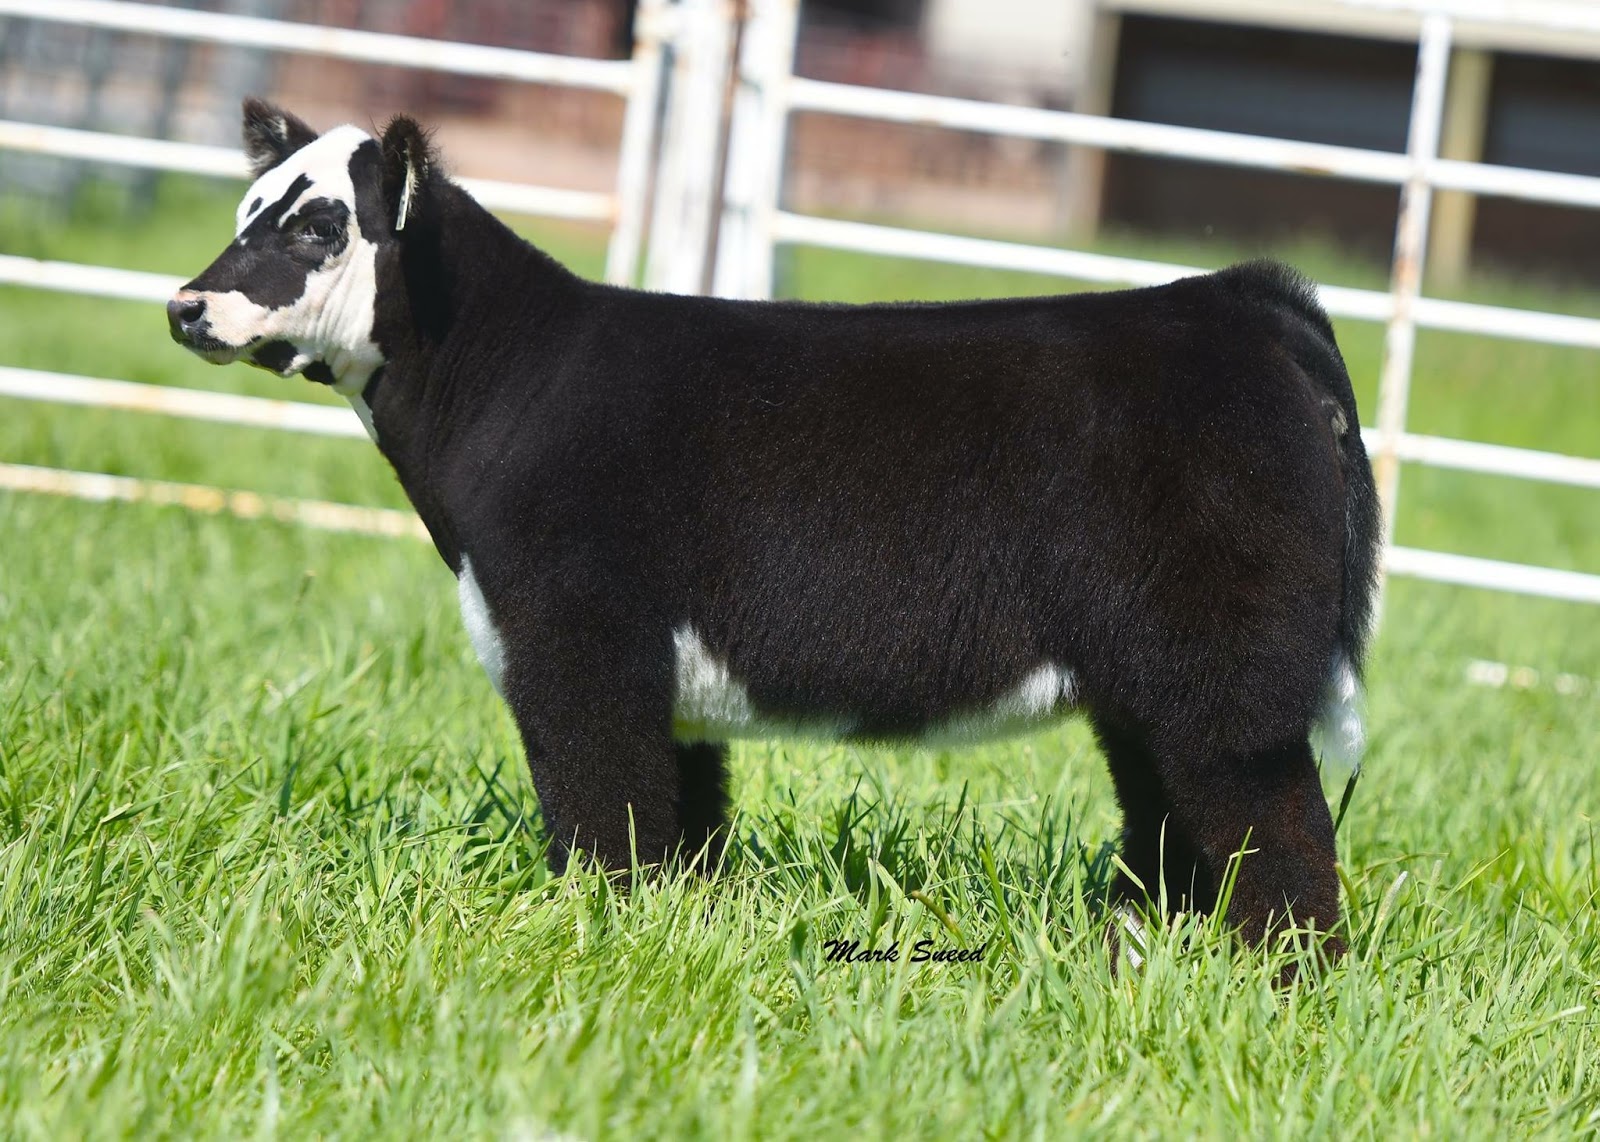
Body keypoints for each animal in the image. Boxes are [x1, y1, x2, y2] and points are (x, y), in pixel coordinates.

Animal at [169, 100, 1380, 964]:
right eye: (244, 214)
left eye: (320, 223)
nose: (186, 305)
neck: (509, 377)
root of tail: (1238, 300)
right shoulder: (656, 673)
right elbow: (676, 821)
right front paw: (670, 926)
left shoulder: (577, 640)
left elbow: (599, 808)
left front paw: (588, 927)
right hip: (1154, 681)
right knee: (1175, 817)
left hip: (1226, 673)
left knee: (1276, 825)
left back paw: (1280, 976)